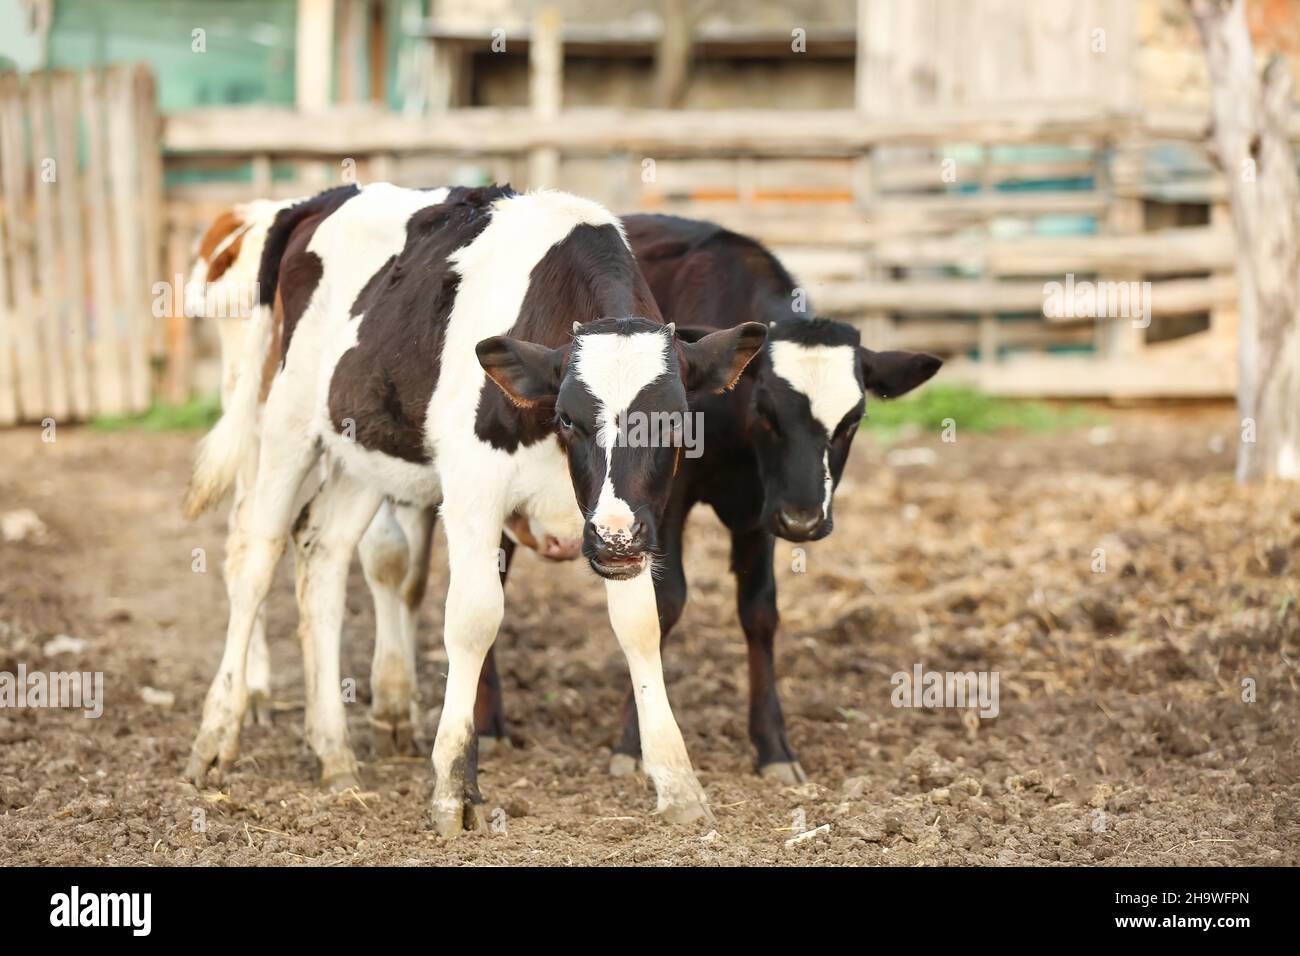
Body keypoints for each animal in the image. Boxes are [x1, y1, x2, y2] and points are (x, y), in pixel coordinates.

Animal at [181, 184, 766, 836]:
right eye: (569, 417)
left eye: (675, 420)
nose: (615, 540)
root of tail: (318, 199)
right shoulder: (472, 488)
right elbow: (475, 618)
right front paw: (453, 787)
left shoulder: (637, 518)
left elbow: (641, 623)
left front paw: (677, 782)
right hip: (286, 423)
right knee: (254, 559)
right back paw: (217, 736)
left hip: (362, 448)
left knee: (323, 558)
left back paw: (334, 754)